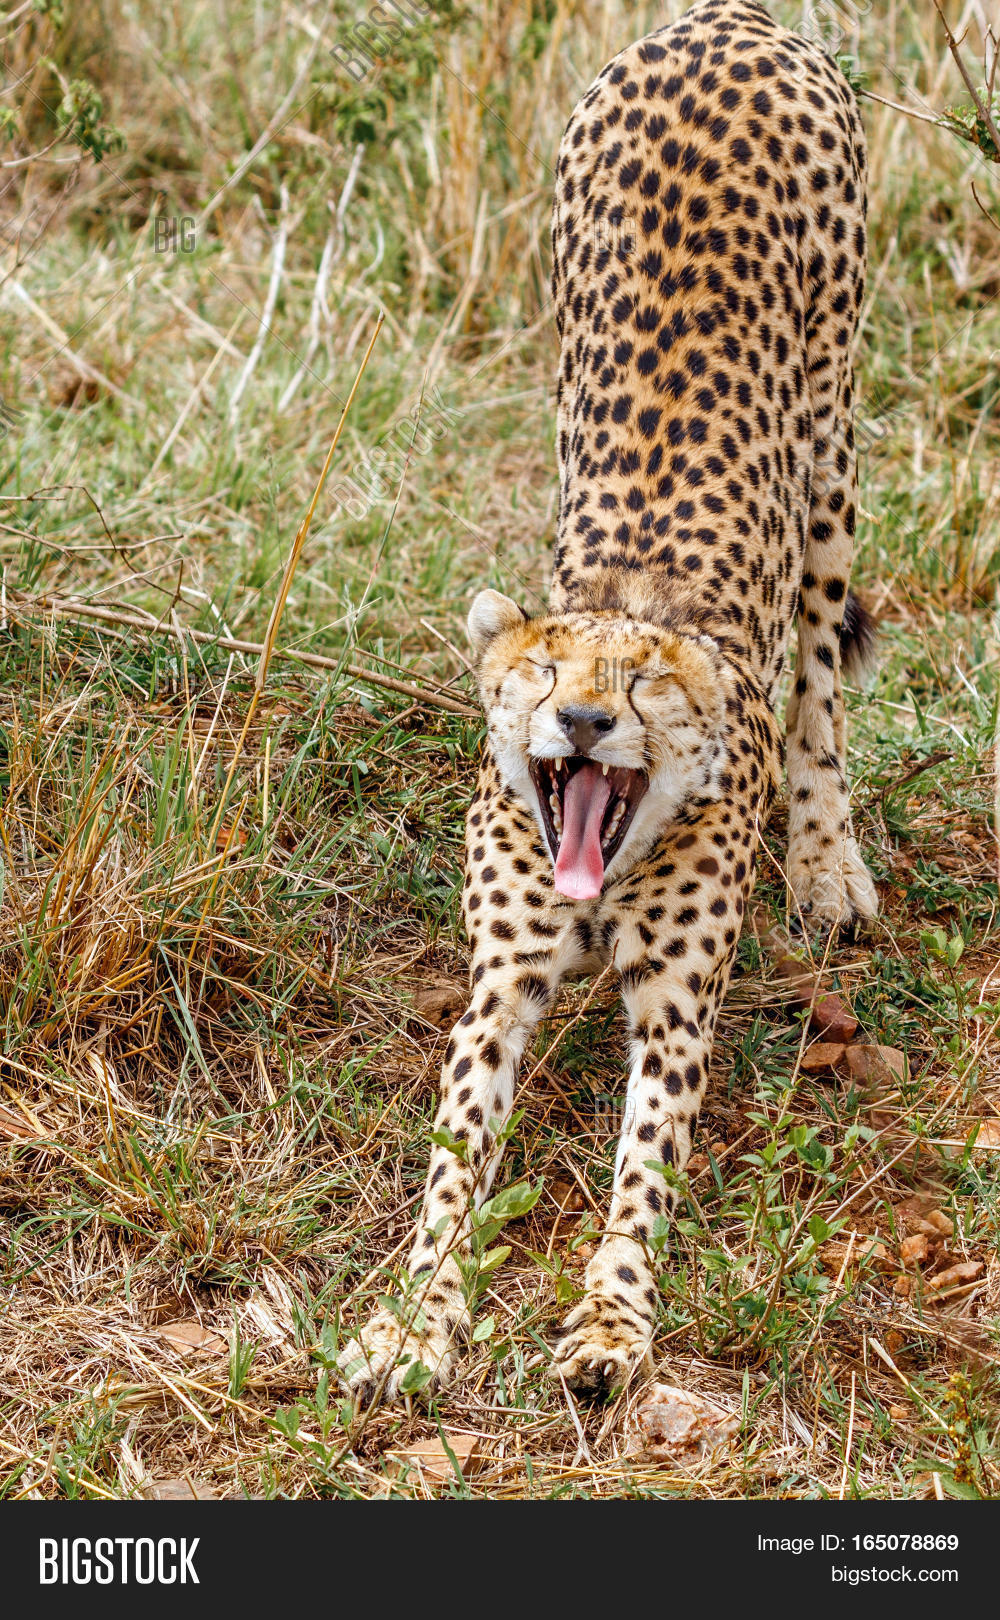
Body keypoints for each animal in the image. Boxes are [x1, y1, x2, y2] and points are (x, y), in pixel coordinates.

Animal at [338, 0, 879, 1405]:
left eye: (643, 685)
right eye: (537, 676)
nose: (581, 727)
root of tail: (730, 19)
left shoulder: (676, 1010)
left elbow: (641, 1176)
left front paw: (609, 1324)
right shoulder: (497, 990)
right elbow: (450, 1169)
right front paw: (411, 1320)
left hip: (830, 449)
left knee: (819, 681)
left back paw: (827, 866)